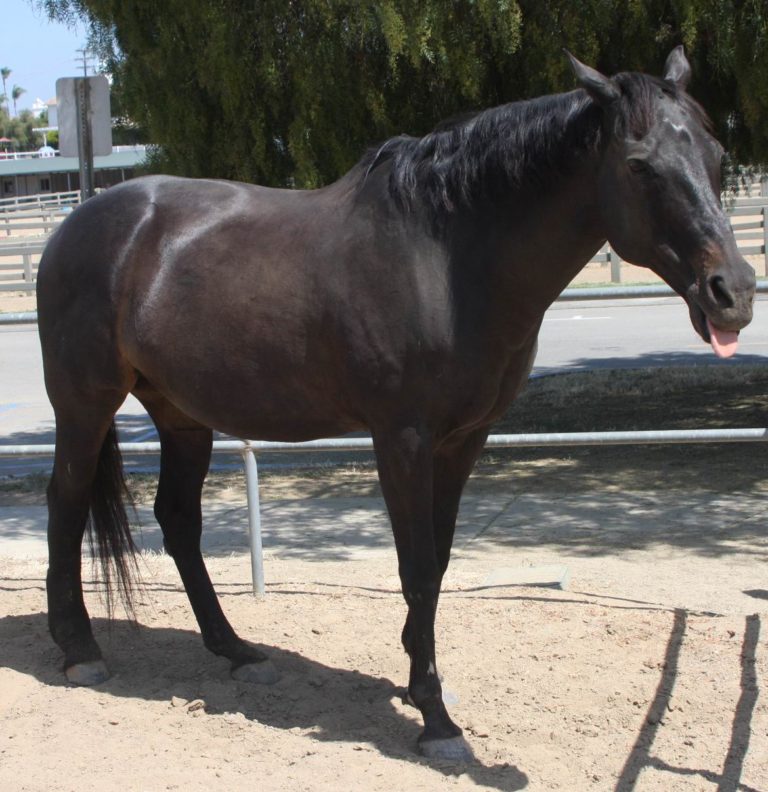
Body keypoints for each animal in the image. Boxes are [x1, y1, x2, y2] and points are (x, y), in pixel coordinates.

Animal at [37, 48, 755, 761]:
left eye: (717, 155)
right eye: (638, 164)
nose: (734, 292)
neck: (447, 258)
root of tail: (81, 222)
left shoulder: (463, 441)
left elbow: (438, 561)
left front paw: (418, 677)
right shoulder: (402, 439)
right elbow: (416, 566)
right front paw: (435, 717)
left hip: (181, 415)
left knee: (180, 521)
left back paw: (236, 650)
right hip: (85, 402)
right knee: (66, 503)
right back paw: (80, 650)